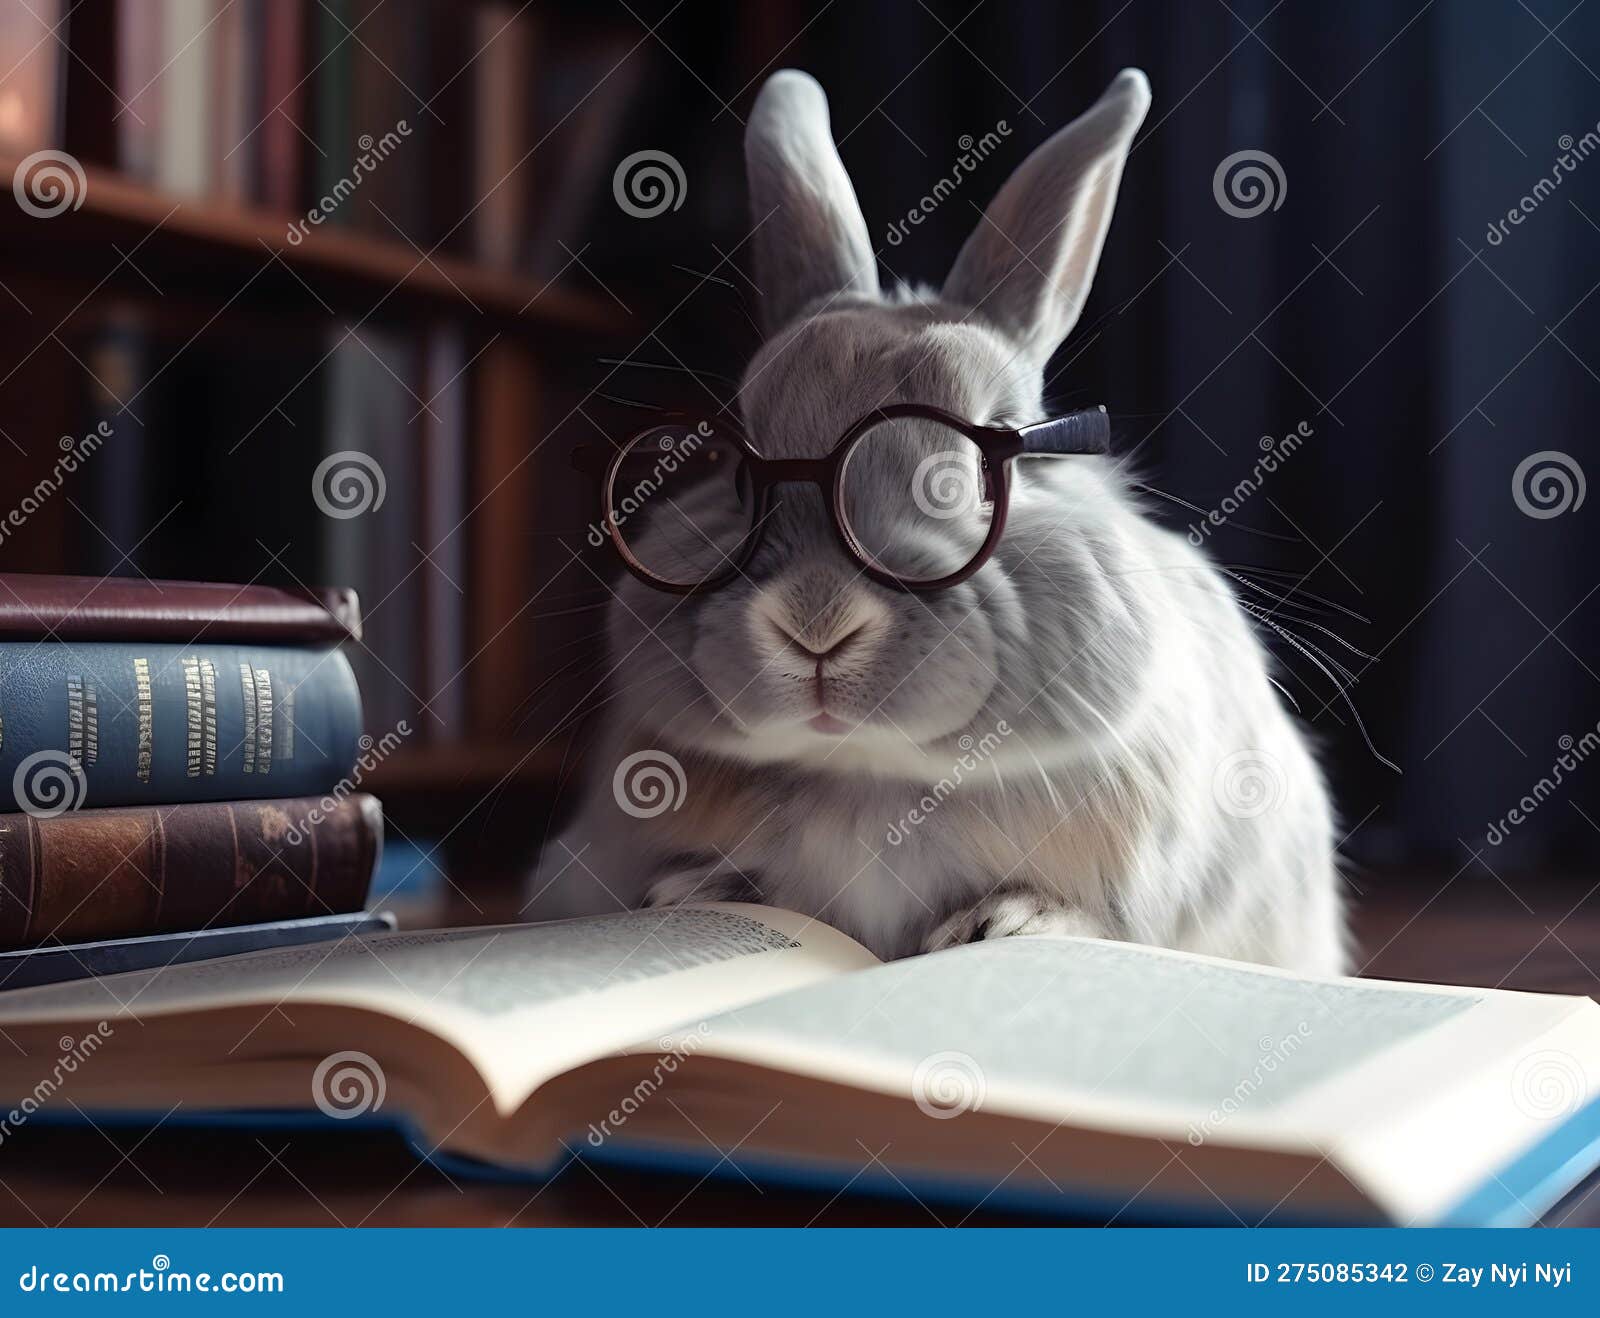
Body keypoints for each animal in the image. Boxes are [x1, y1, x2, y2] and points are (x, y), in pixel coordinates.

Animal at [529, 67, 1347, 974]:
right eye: (742, 474)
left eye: (982, 462)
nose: (817, 620)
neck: (870, 776)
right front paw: (697, 893)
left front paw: (1005, 923)